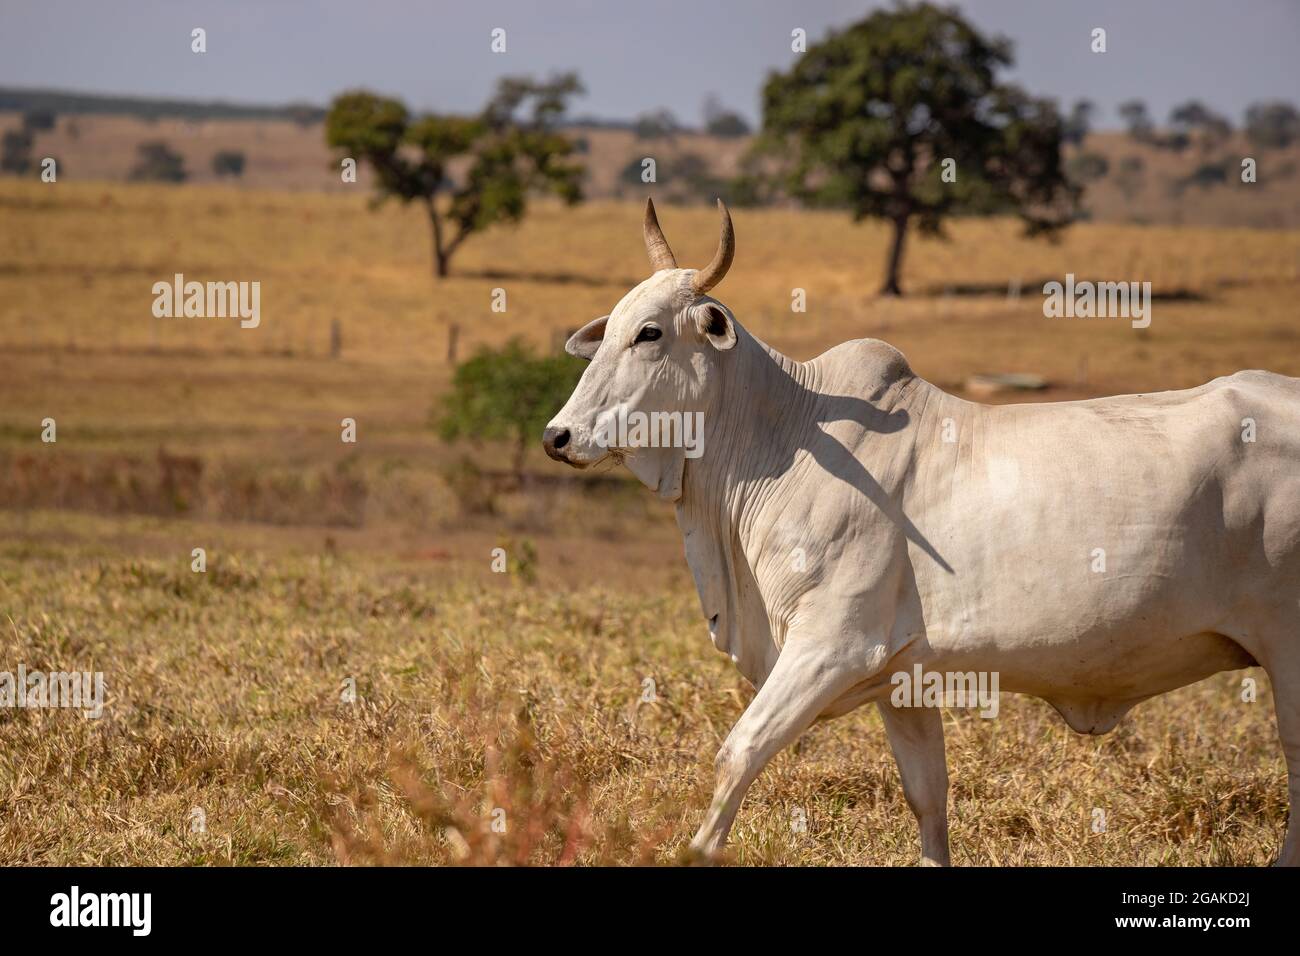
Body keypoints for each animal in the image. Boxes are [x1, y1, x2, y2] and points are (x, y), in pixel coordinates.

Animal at [543, 198, 1300, 866]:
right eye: (608, 330)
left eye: (650, 333)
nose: (559, 436)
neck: (783, 438)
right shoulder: (901, 679)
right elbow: (928, 798)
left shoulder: (830, 647)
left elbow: (739, 754)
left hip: (1288, 653)